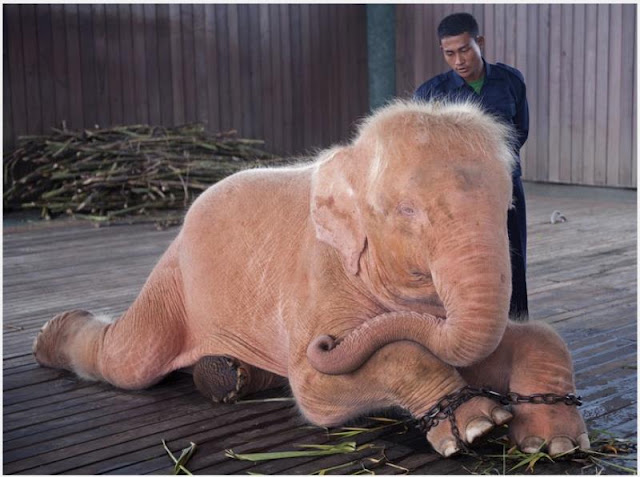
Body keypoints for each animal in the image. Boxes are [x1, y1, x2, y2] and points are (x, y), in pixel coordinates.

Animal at [33, 100, 589, 458]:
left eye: (508, 207)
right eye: (406, 211)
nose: (327, 341)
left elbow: (504, 338)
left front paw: (554, 443)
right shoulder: (319, 274)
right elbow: (317, 387)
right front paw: (477, 427)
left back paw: (229, 376)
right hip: (176, 279)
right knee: (131, 360)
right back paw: (50, 337)